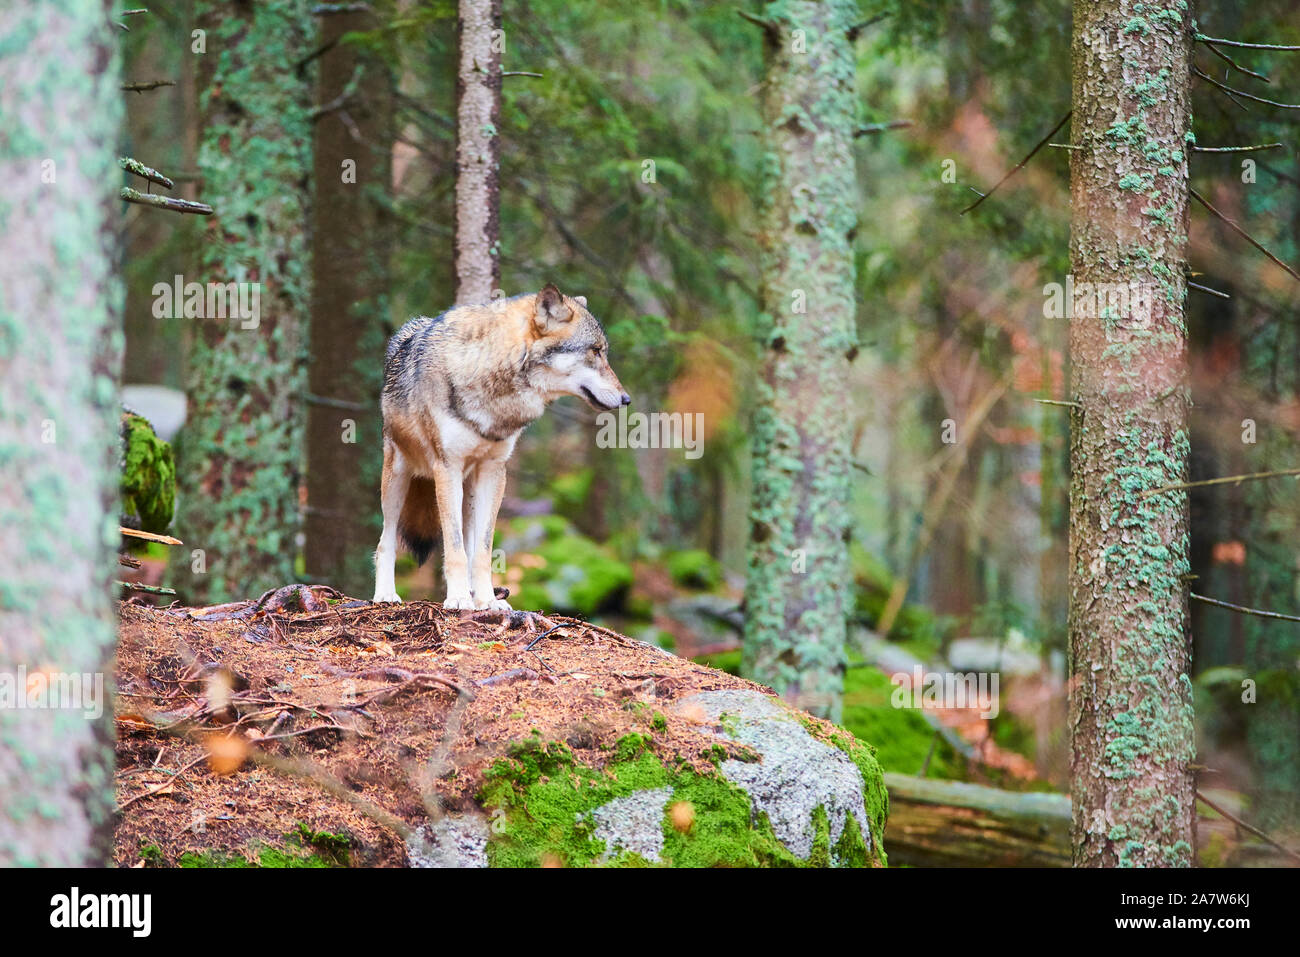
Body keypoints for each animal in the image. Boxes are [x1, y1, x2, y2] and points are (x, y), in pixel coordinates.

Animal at [372, 284, 630, 609]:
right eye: (595, 350)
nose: (626, 399)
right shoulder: (447, 468)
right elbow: (454, 548)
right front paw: (458, 599)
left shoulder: (494, 472)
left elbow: (482, 551)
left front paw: (486, 601)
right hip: (398, 479)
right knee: (385, 541)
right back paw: (386, 594)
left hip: (467, 491)